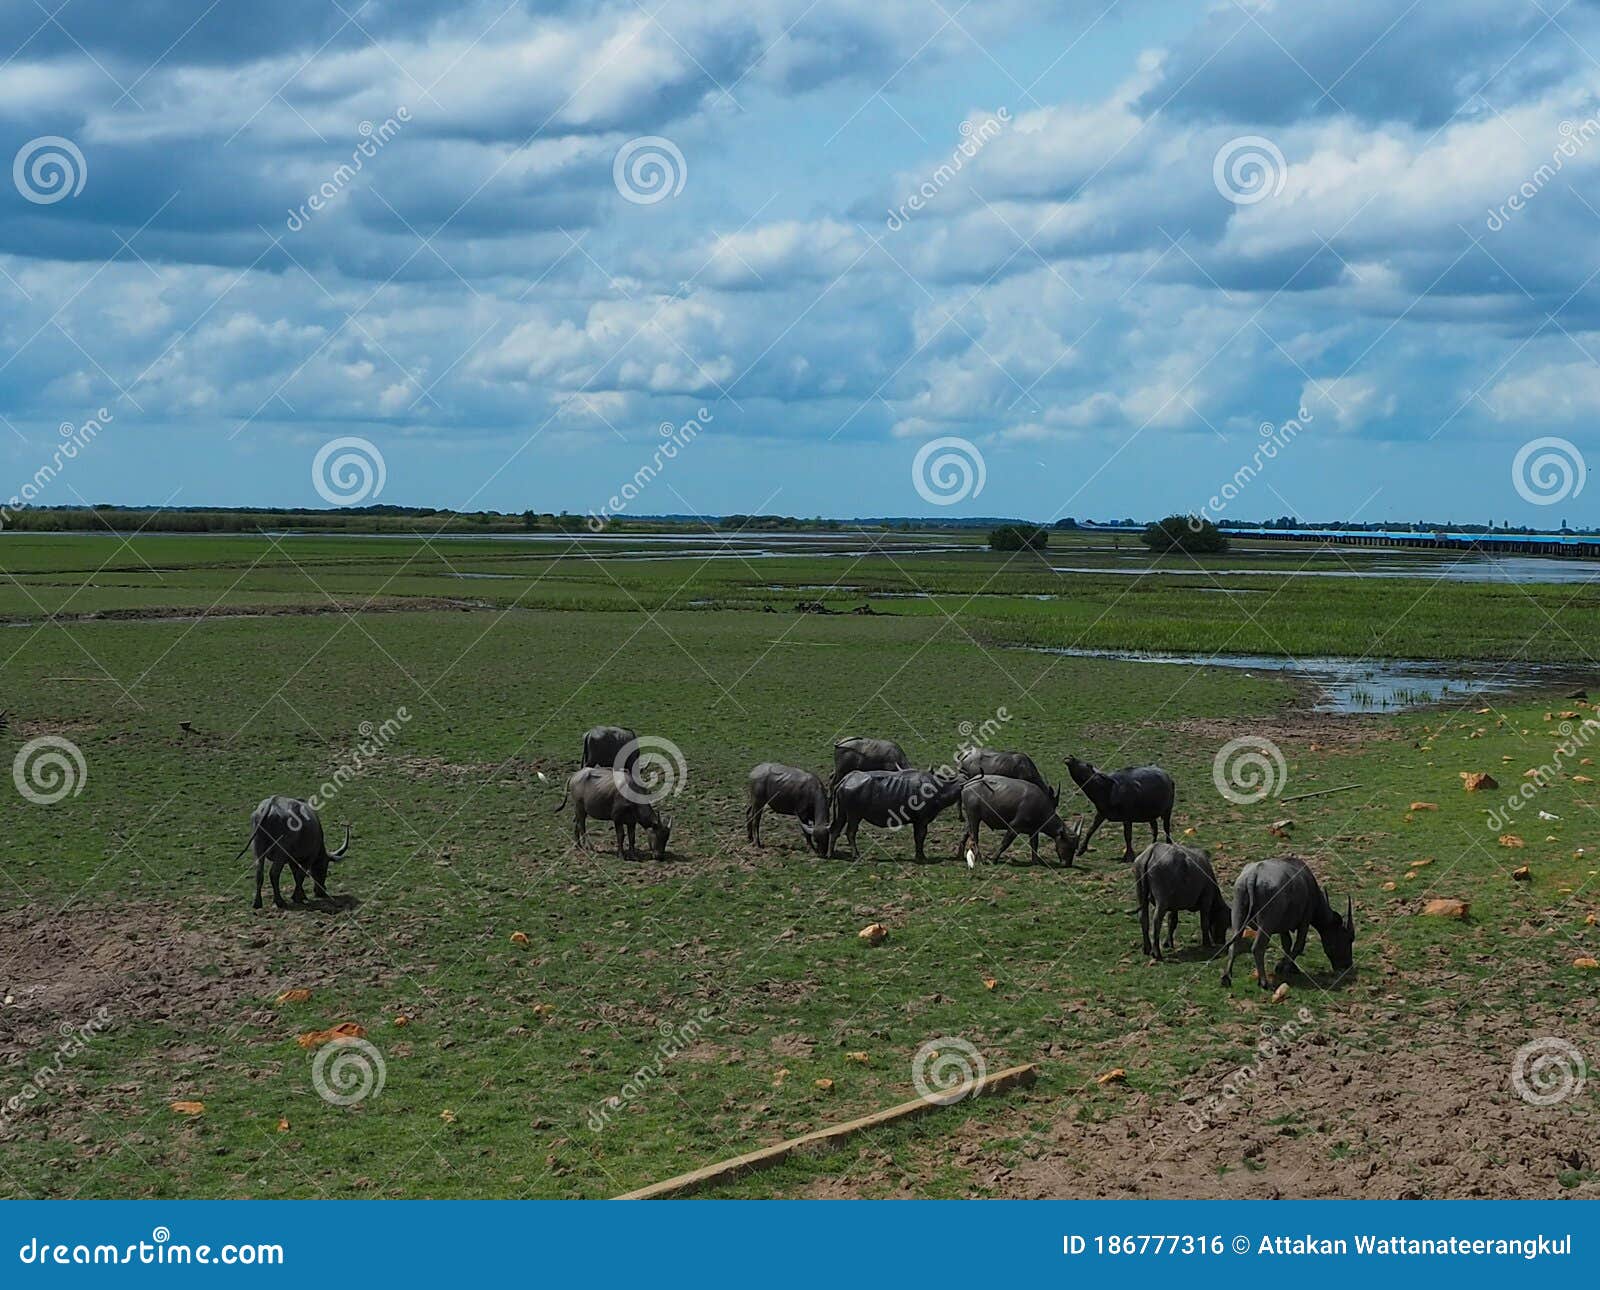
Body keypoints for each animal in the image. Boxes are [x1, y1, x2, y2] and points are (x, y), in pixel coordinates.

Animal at [830, 768, 963, 862]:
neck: (938, 788)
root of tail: (847, 779)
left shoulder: (917, 822)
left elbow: (917, 838)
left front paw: (918, 855)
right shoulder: (922, 821)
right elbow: (920, 837)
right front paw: (921, 857)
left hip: (842, 813)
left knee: (835, 830)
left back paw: (830, 854)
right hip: (854, 815)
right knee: (850, 833)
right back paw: (856, 855)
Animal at [1220, 855, 1355, 989]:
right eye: (1349, 939)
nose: (1347, 965)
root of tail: (1253, 875)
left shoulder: (1283, 927)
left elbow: (1287, 944)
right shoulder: (1305, 920)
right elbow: (1298, 945)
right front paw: (1285, 966)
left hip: (1238, 913)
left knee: (1234, 945)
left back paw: (1226, 977)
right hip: (1266, 924)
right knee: (1257, 947)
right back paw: (1263, 981)